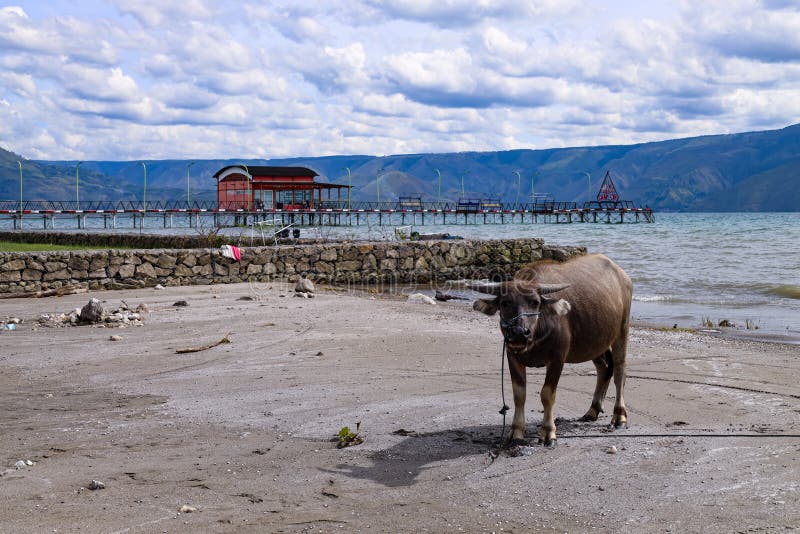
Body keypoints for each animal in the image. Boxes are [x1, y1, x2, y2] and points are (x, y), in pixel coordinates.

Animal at [469, 254, 632, 446]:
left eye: (535, 302)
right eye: (504, 303)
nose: (518, 333)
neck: (536, 336)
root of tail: (622, 275)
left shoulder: (557, 358)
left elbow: (547, 395)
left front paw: (548, 432)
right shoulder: (512, 356)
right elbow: (519, 394)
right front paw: (516, 431)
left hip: (622, 330)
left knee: (620, 371)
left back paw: (619, 416)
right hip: (596, 342)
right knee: (604, 368)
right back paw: (592, 410)